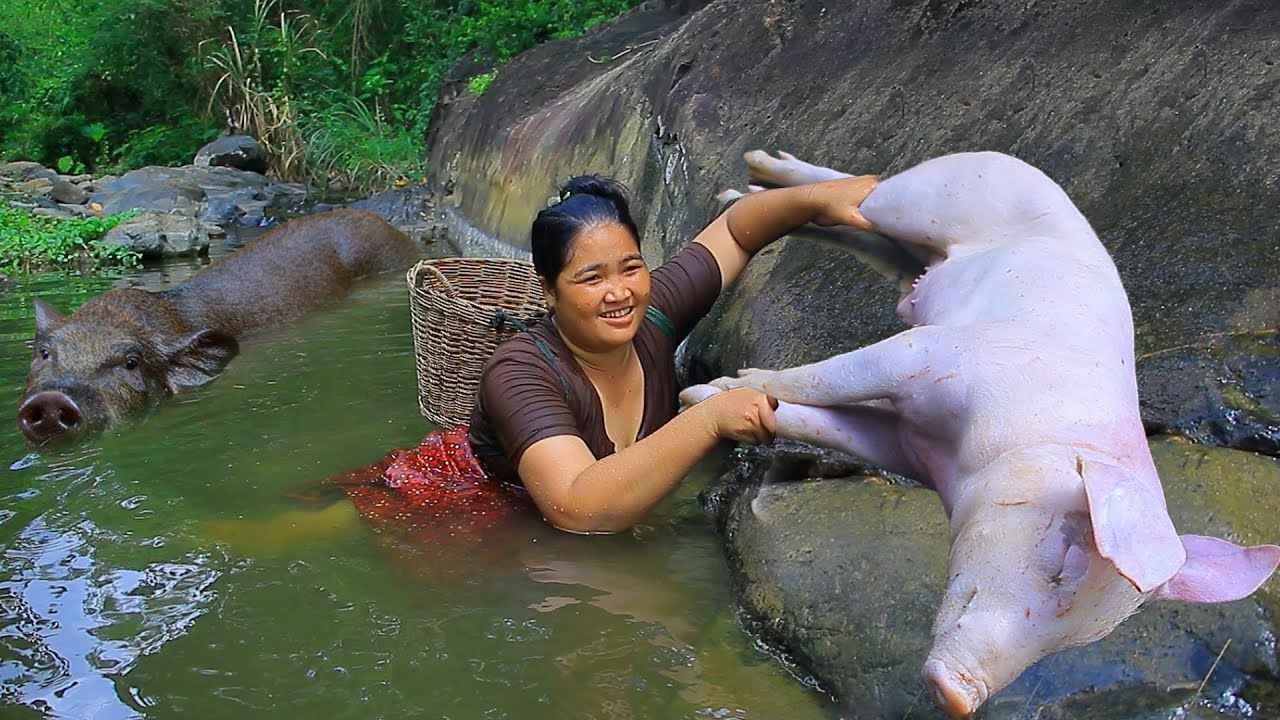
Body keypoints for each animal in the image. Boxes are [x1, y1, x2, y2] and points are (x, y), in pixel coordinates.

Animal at [683, 151, 1280, 718]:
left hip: (908, 255)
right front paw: (708, 392)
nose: (958, 696)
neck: (973, 455)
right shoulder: (931, 355)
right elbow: (829, 376)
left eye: (1087, 636)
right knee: (865, 190)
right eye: (1063, 558)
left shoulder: (905, 446)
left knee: (868, 236)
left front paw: (720, 400)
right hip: (937, 195)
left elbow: (823, 420)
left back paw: (744, 195)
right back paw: (752, 176)